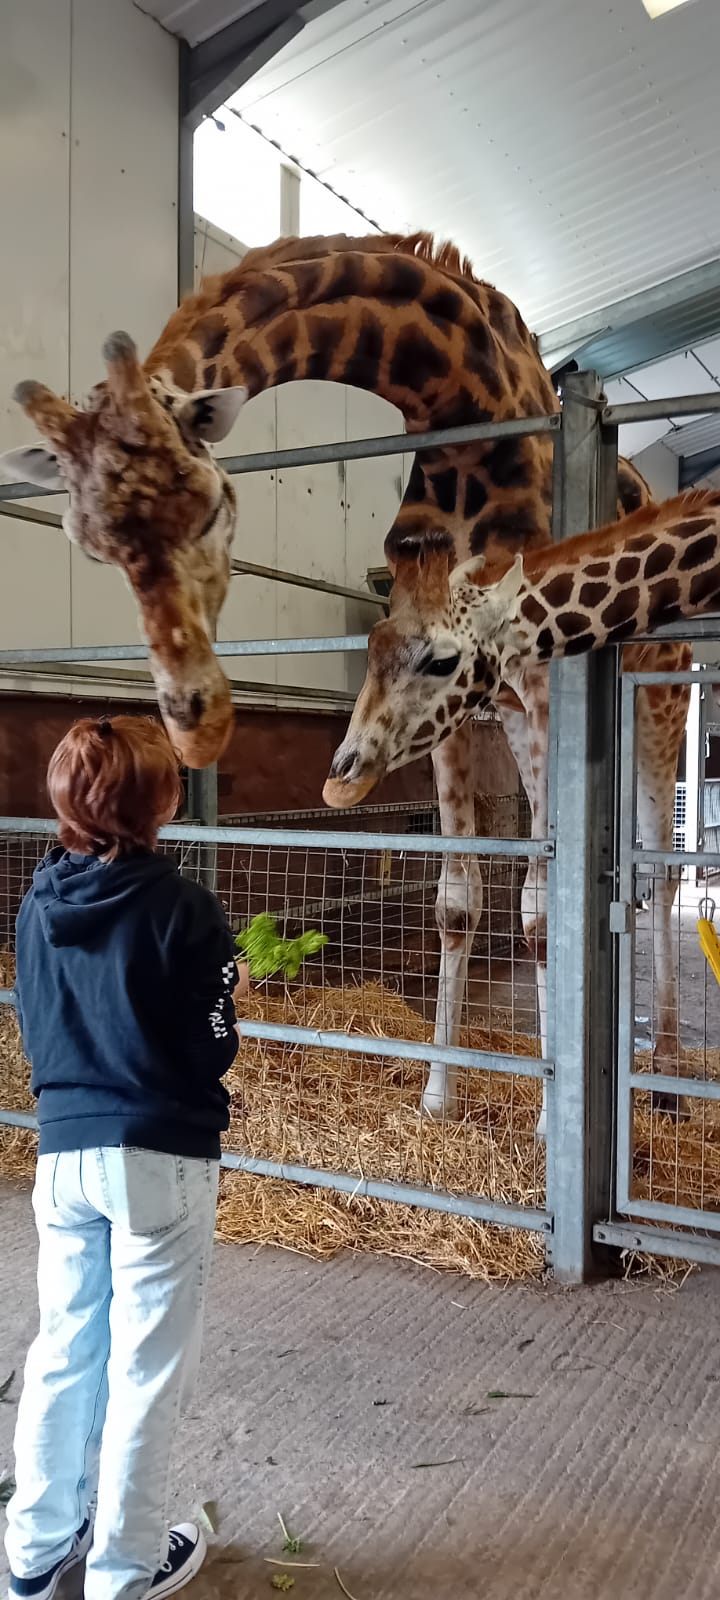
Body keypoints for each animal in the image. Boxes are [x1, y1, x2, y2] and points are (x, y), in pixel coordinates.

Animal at [0, 230, 689, 1125]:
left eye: (214, 505)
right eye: (91, 544)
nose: (195, 720)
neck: (467, 410)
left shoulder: (536, 687)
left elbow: (544, 909)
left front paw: (547, 1117)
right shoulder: (452, 697)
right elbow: (457, 902)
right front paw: (437, 1094)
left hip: (666, 698)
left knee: (662, 868)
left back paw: (667, 1065)